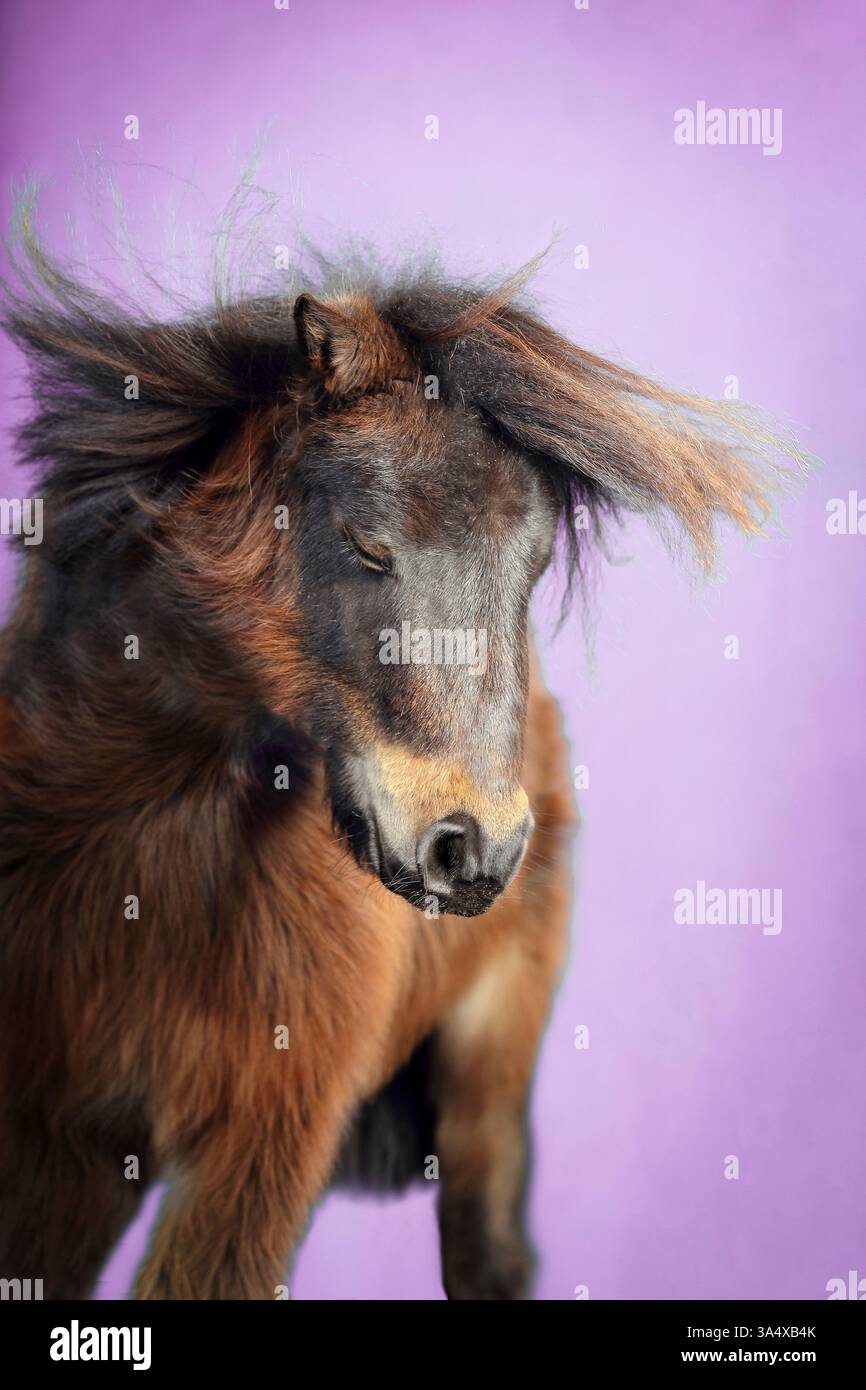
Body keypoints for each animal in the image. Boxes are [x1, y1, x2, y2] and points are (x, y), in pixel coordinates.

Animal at [0, 222, 804, 1299]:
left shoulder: (263, 1145)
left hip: (487, 1078)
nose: (473, 852)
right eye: (366, 542)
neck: (144, 863)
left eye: (533, 564)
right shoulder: (54, 1150)